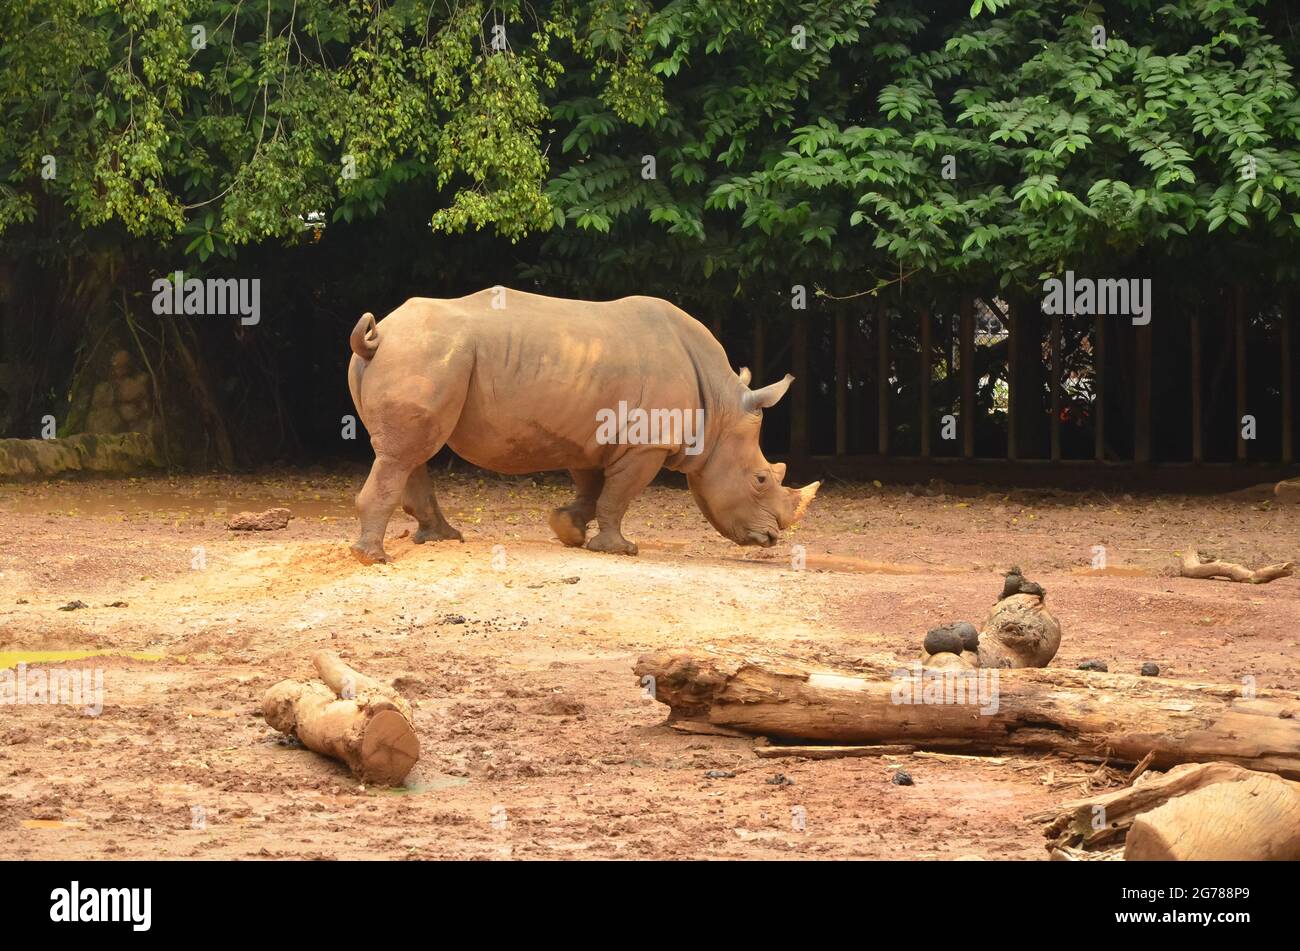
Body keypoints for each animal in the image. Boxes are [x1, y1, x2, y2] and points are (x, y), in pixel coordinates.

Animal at [345, 288, 820, 564]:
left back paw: (442, 539)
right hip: (423, 353)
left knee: (409, 452)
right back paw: (374, 558)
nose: (771, 539)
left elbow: (593, 490)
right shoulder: (647, 442)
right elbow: (619, 495)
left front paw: (567, 530)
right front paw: (621, 549)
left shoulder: (588, 435)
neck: (720, 410)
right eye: (760, 479)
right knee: (402, 455)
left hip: (419, 354)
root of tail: (379, 334)